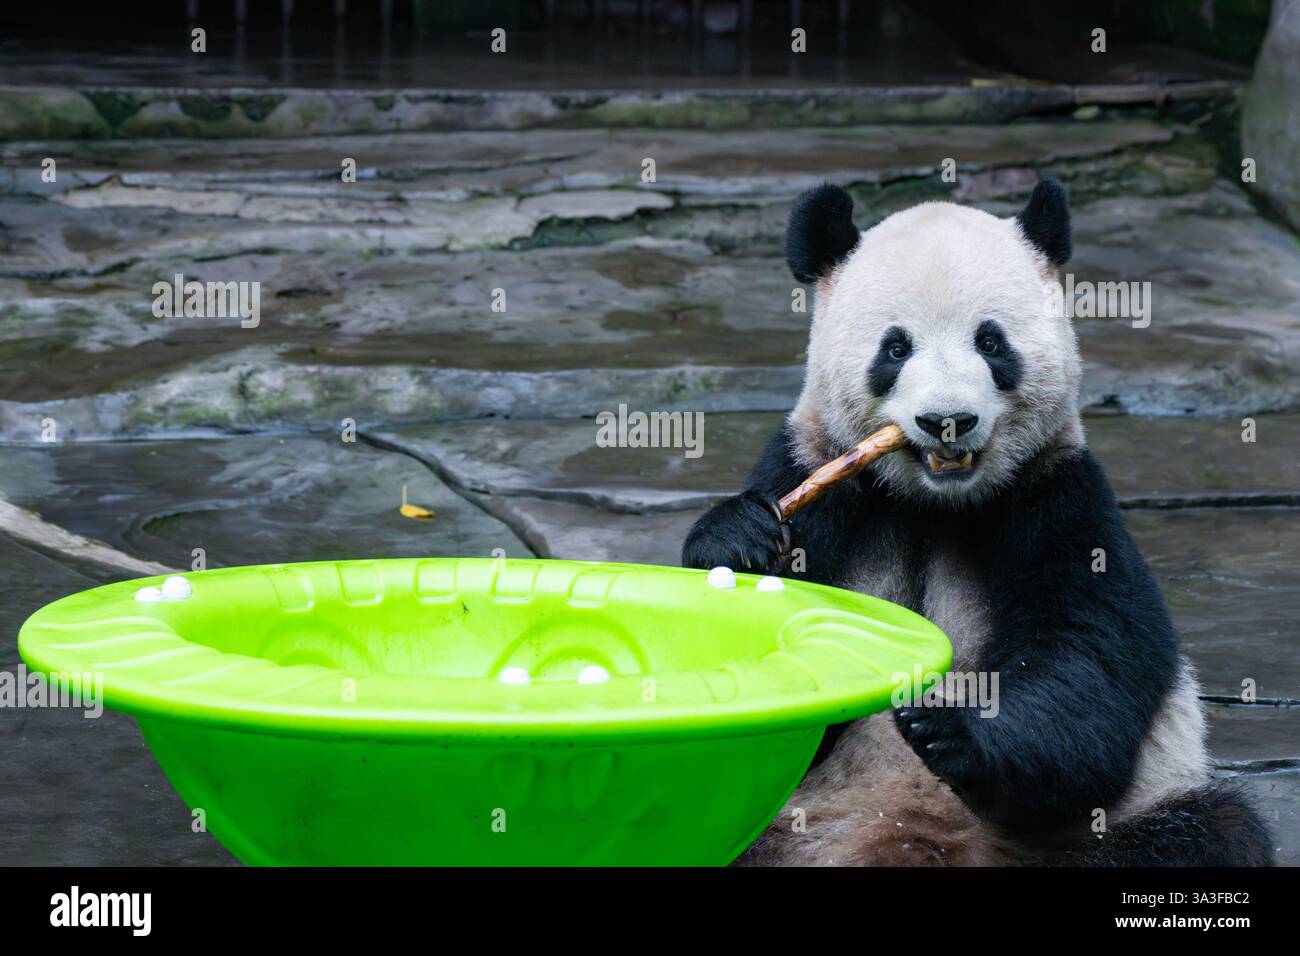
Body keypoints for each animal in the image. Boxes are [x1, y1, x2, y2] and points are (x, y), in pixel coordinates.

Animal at [681, 180, 1274, 866]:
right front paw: (738, 541)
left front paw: (948, 731)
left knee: (1210, 830)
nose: (948, 420)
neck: (932, 502)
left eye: (990, 343)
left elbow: (1085, 657)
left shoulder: (1057, 496)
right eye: (896, 348)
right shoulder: (814, 467)